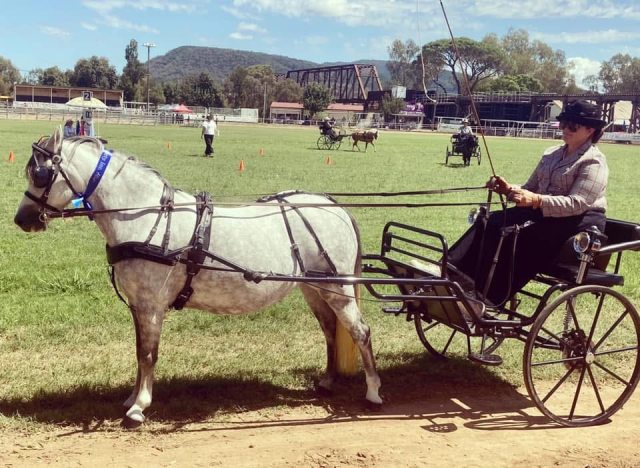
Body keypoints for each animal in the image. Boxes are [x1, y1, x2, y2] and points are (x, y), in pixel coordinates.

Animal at [14, 128, 382, 428]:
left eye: (40, 174)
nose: (21, 219)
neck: (146, 216)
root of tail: (335, 207)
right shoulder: (139, 306)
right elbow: (139, 352)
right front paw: (132, 398)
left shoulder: (151, 305)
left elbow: (148, 354)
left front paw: (139, 408)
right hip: (315, 288)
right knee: (330, 330)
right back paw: (328, 382)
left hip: (338, 288)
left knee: (360, 332)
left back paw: (374, 392)